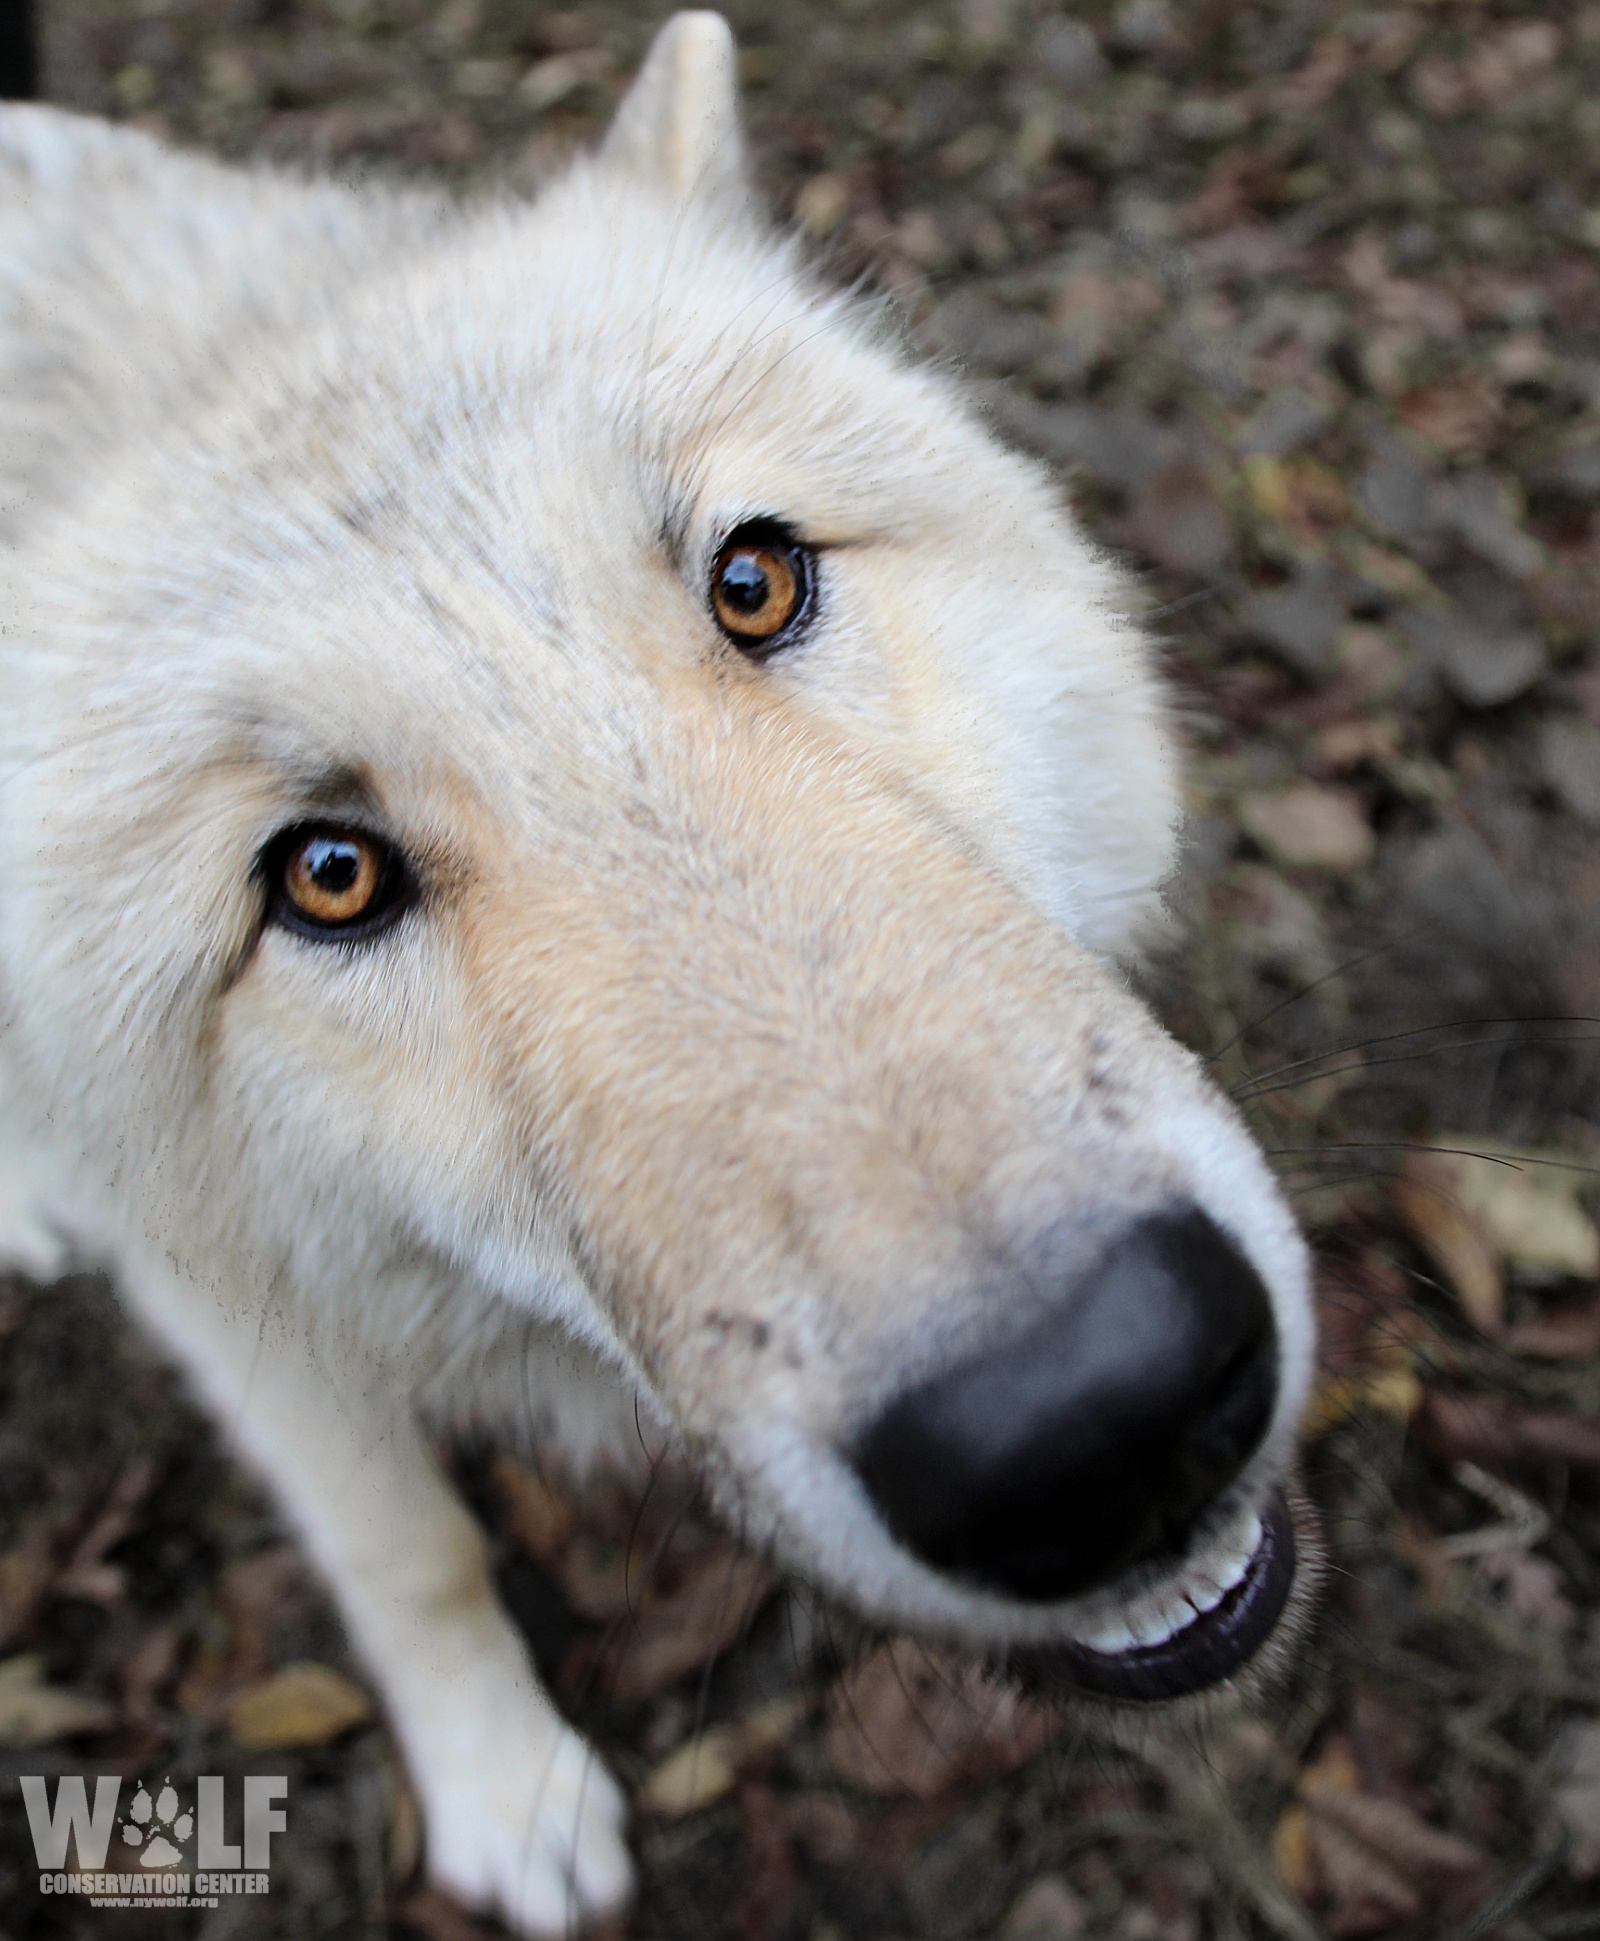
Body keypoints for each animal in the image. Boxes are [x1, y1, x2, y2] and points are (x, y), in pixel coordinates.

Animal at [0, 14, 1316, 1933]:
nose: (1098, 1410)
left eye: (754, 581)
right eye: (328, 875)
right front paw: (506, 1783)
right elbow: (410, 1549)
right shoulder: (244, 1317)